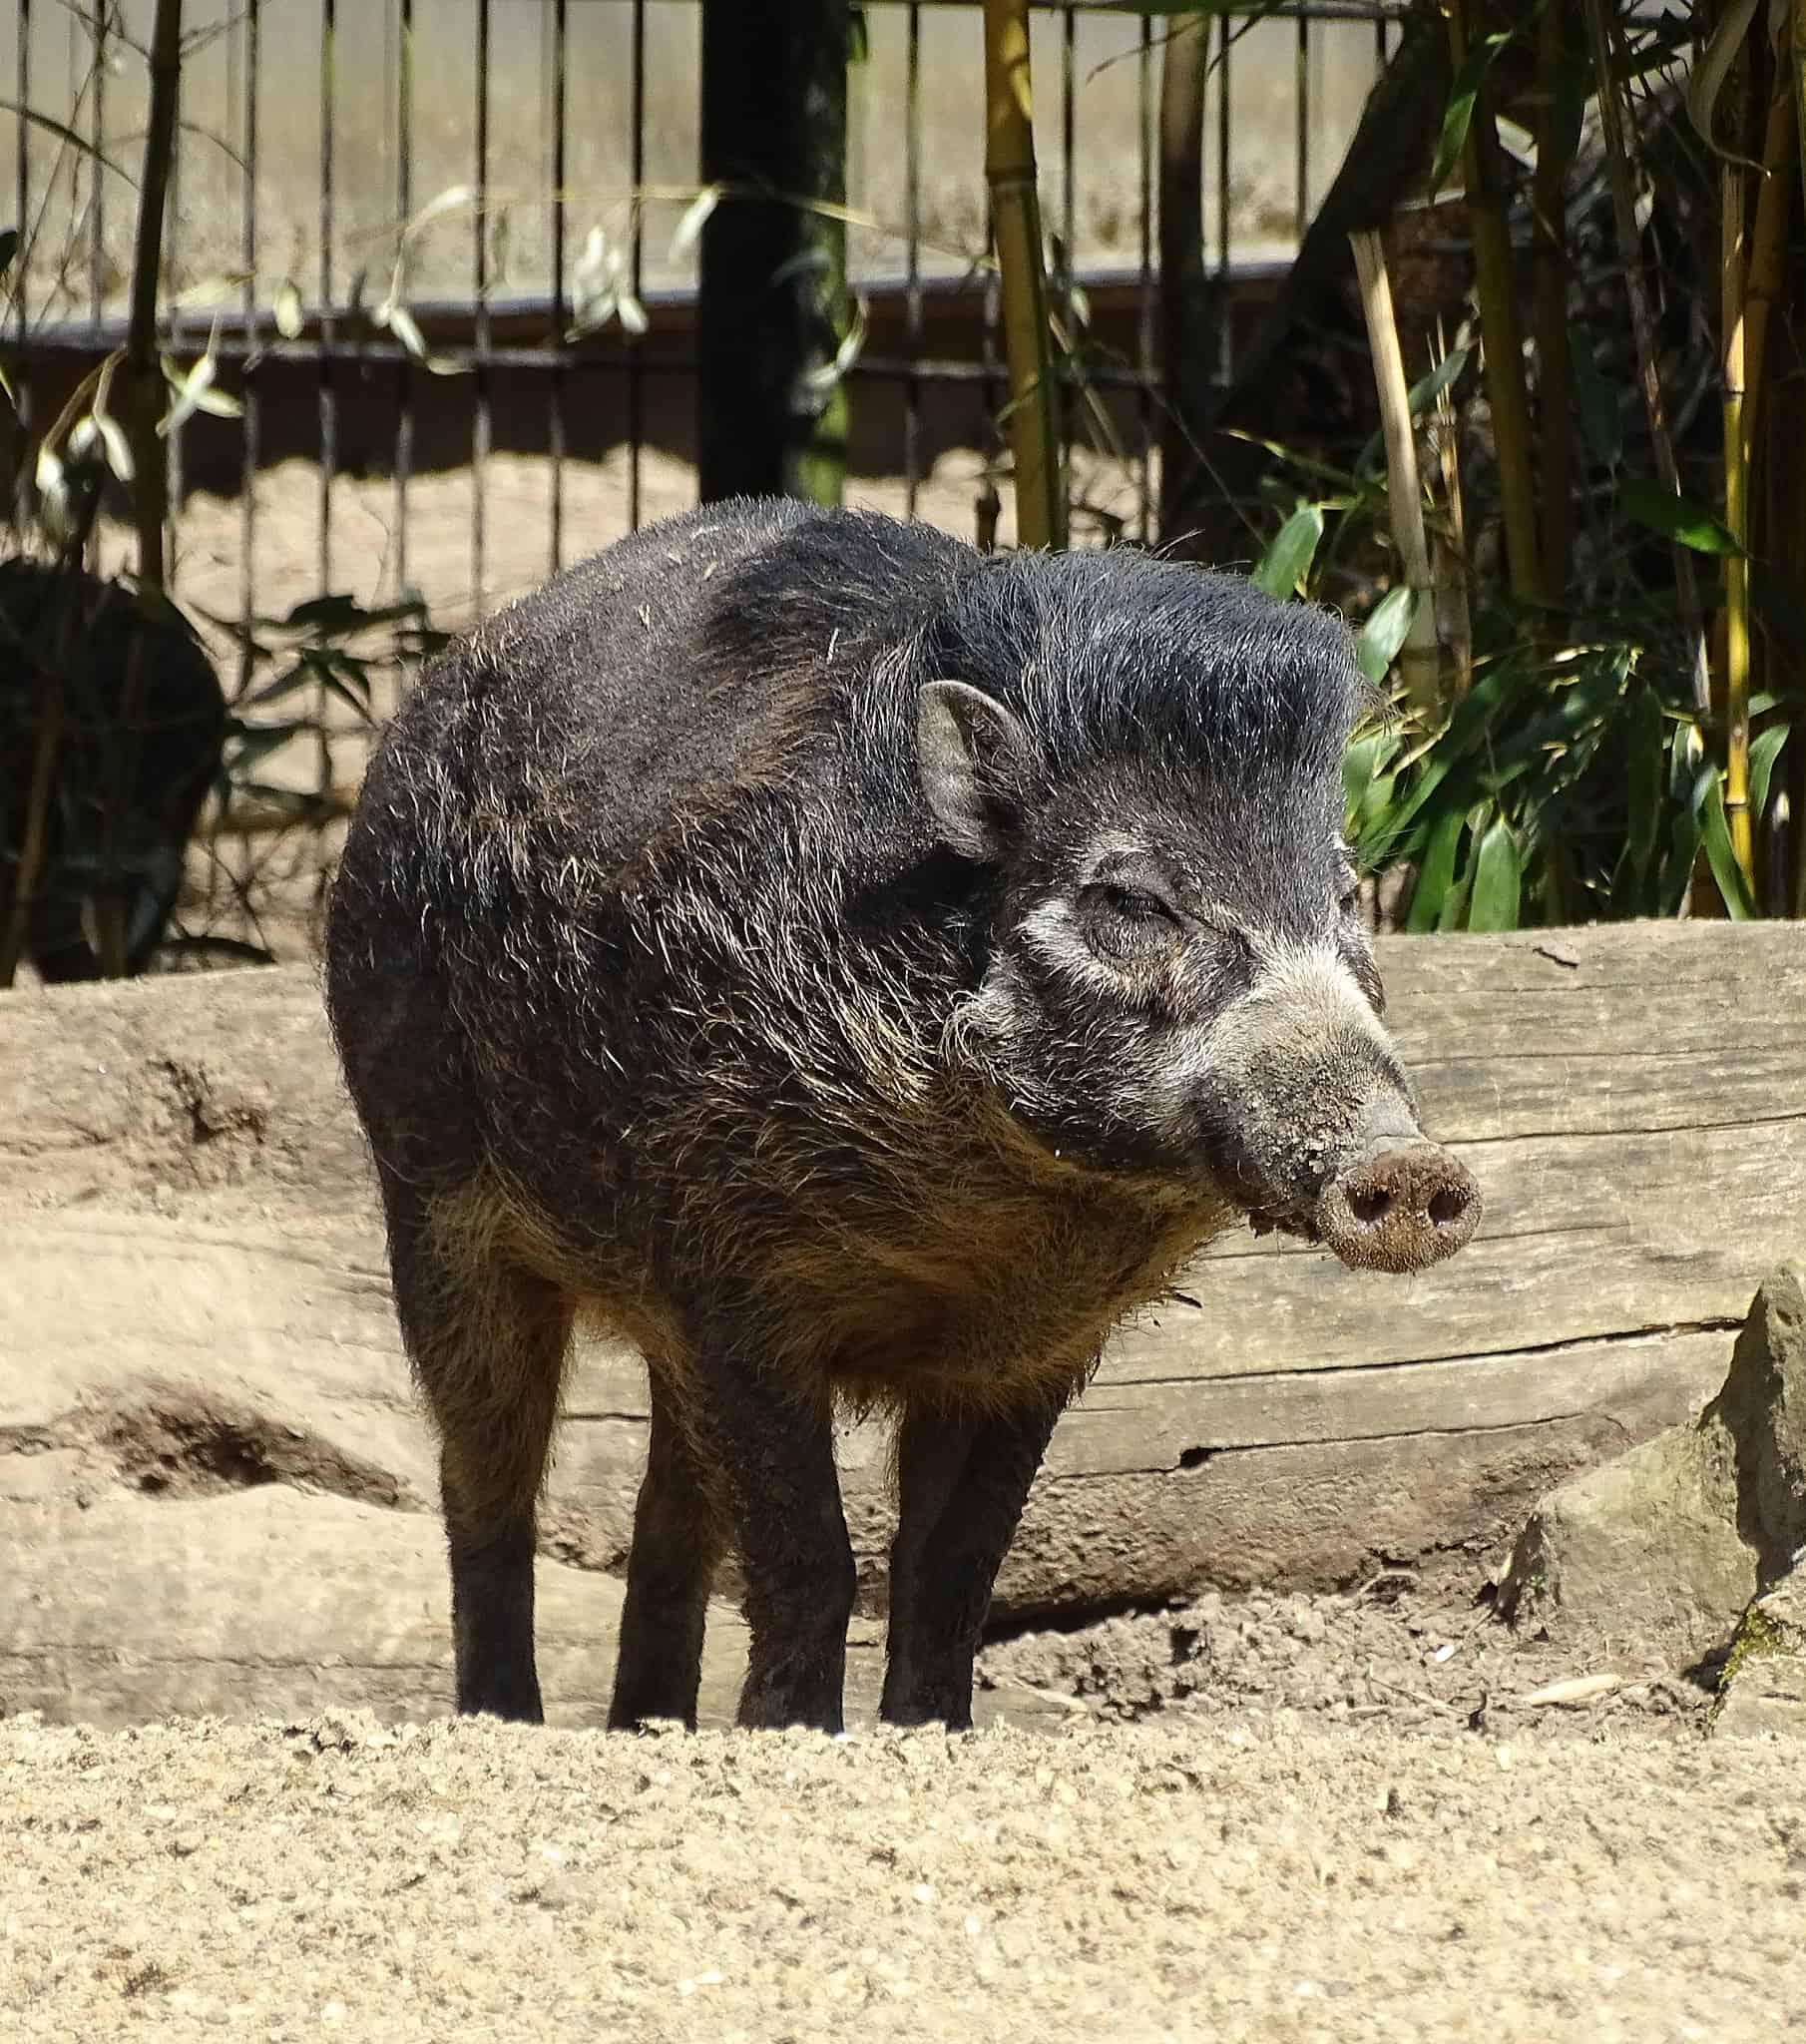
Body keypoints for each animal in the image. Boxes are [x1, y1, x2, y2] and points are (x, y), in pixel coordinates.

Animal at [323, 498, 1479, 1735]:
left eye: (1344, 895)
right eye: (1130, 898)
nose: (1415, 1168)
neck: (1008, 1210)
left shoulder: (1029, 1349)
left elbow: (954, 1569)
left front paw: (931, 1731)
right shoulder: (730, 1289)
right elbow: (815, 1561)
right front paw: (793, 1735)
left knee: (665, 1517)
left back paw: (650, 1727)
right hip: (427, 1188)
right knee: (483, 1481)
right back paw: (507, 1717)